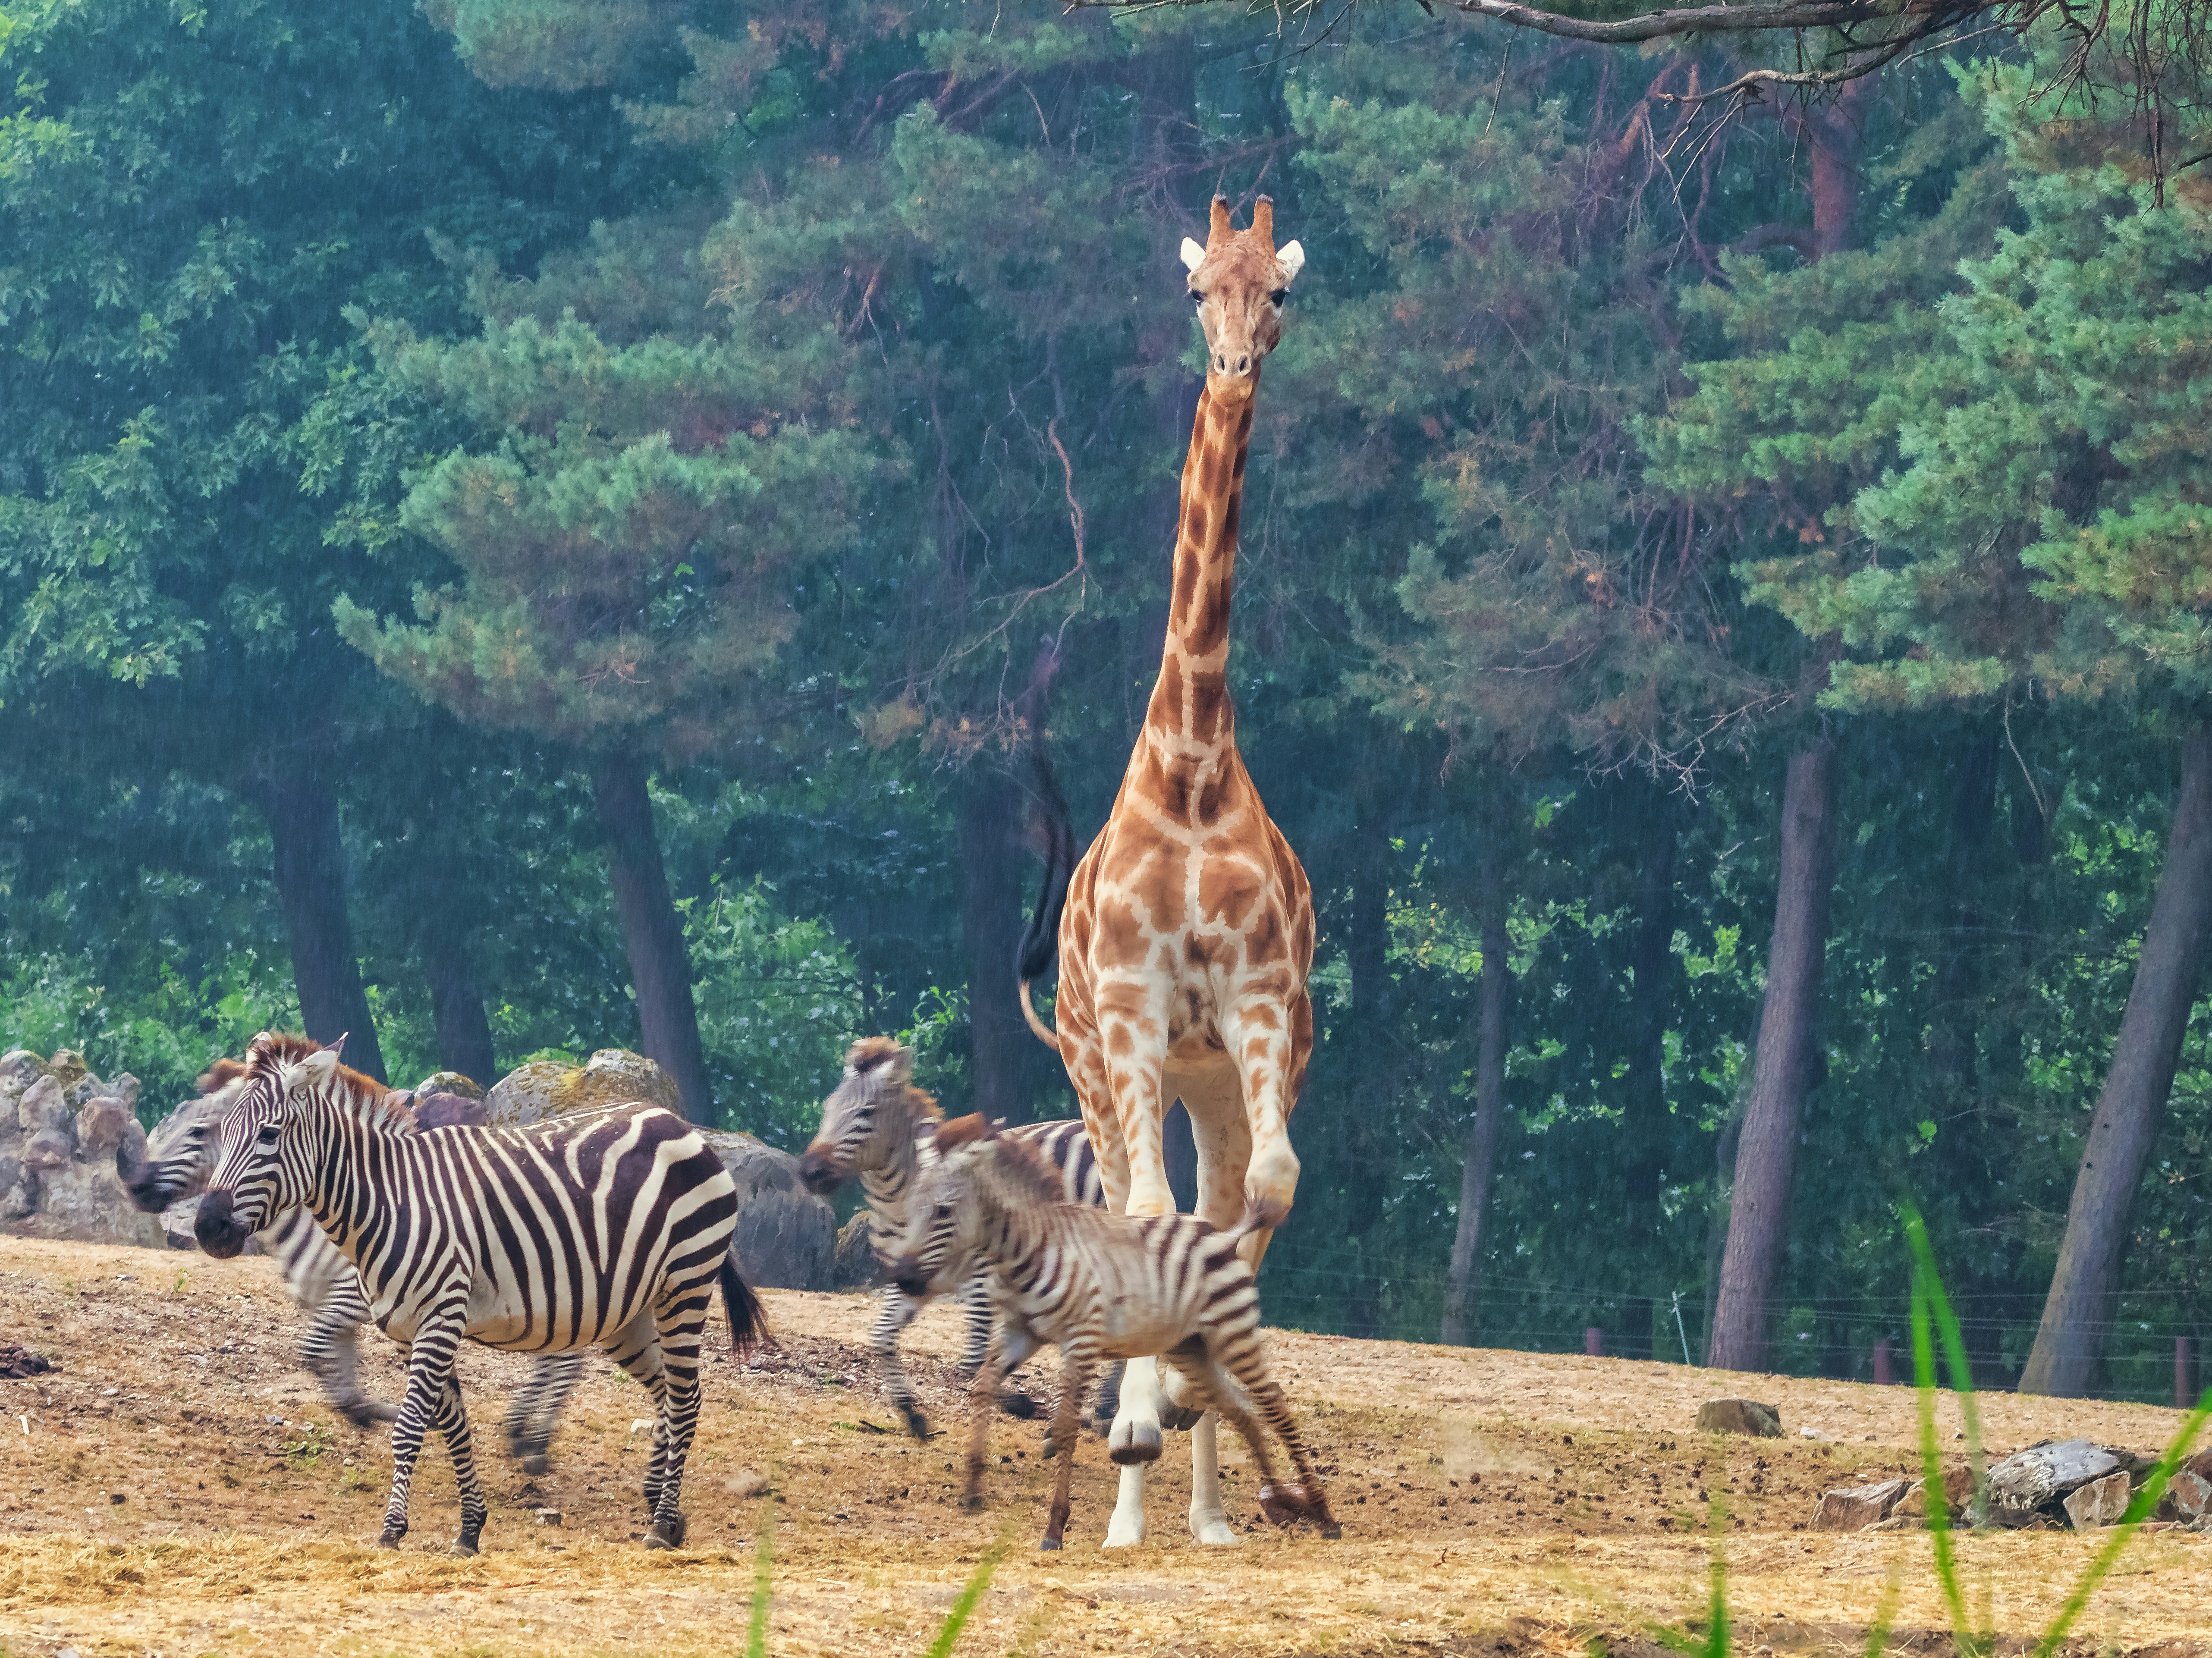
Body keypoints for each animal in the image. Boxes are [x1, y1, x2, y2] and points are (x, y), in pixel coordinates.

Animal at [117, 1064, 583, 1471]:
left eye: (196, 1132)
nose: (136, 1187)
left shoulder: (355, 1299)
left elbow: (312, 1352)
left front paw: (383, 1411)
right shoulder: (341, 1305)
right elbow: (330, 1363)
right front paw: (364, 1410)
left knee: (568, 1359)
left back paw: (534, 1442)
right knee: (562, 1354)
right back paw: (525, 1433)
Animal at [195, 1031, 765, 1555]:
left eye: (269, 1134)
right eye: (222, 1134)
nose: (208, 1228)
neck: (389, 1202)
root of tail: (680, 1126)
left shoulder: (441, 1314)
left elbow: (410, 1426)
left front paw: (392, 1530)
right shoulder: (412, 1328)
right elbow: (451, 1425)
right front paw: (470, 1529)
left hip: (685, 1283)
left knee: (686, 1398)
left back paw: (661, 1525)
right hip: (630, 1311)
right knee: (667, 1392)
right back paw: (663, 1507)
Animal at [796, 1035, 1120, 1439]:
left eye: (867, 1113)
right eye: (827, 1108)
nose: (809, 1172)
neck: (900, 1206)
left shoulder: (982, 1284)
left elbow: (974, 1363)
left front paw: (1019, 1402)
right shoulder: (908, 1279)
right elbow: (882, 1338)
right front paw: (911, 1413)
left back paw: (1105, 1411)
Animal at [889, 1113, 1339, 1551]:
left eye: (943, 1211)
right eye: (912, 1208)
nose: (904, 1279)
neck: (1031, 1249)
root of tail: (1222, 1233)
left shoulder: (1082, 1341)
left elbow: (1066, 1427)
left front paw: (1054, 1531)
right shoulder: (1023, 1333)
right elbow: (984, 1386)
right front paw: (972, 1489)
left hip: (1232, 1333)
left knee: (1273, 1401)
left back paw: (1324, 1516)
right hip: (1190, 1350)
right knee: (1243, 1412)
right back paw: (1282, 1499)